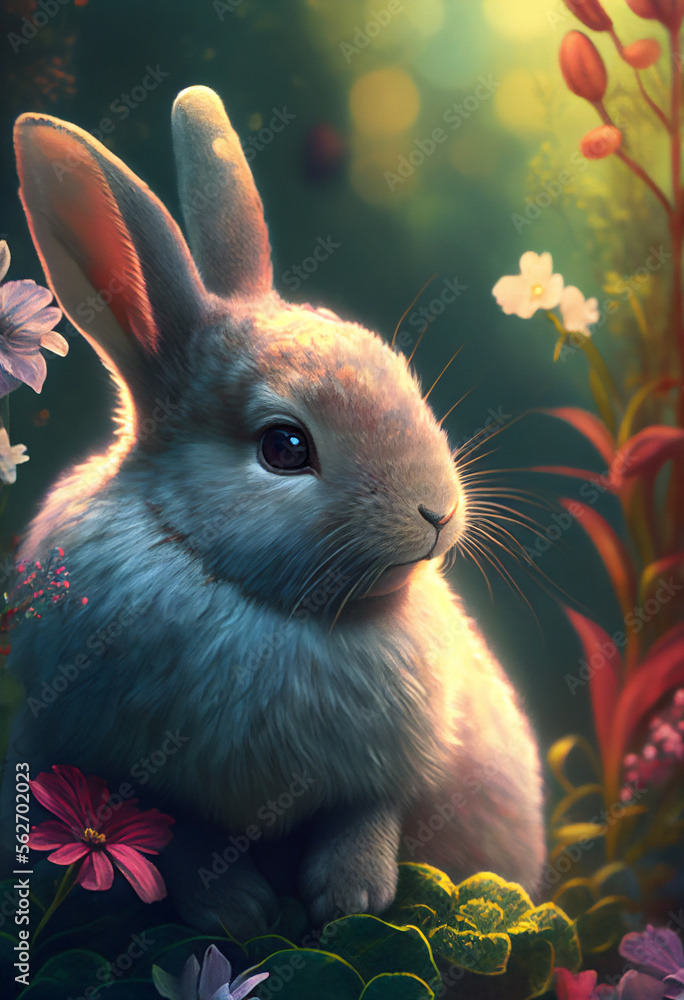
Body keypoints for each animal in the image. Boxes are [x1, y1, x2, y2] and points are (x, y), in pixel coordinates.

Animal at [2, 85, 545, 937]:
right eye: (285, 447)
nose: (438, 511)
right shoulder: (123, 763)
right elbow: (176, 836)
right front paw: (240, 913)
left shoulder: (394, 768)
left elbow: (366, 815)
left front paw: (352, 898)